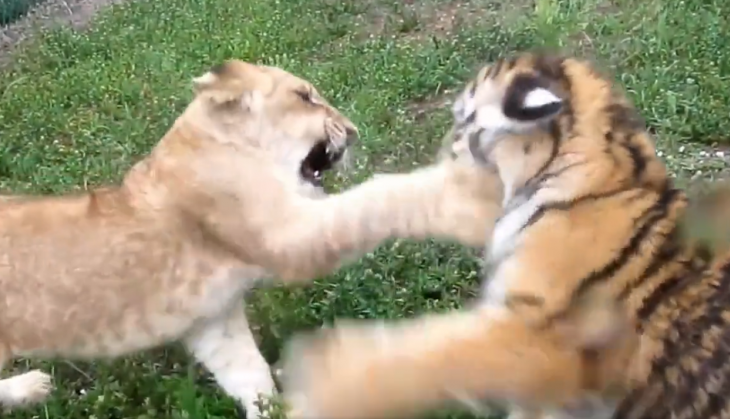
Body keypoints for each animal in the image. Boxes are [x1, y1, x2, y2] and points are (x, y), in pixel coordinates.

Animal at [0, 59, 505, 417]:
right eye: (305, 96)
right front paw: (469, 198)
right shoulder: (289, 237)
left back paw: (31, 387)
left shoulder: (213, 321)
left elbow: (250, 376)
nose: (353, 130)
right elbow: (377, 198)